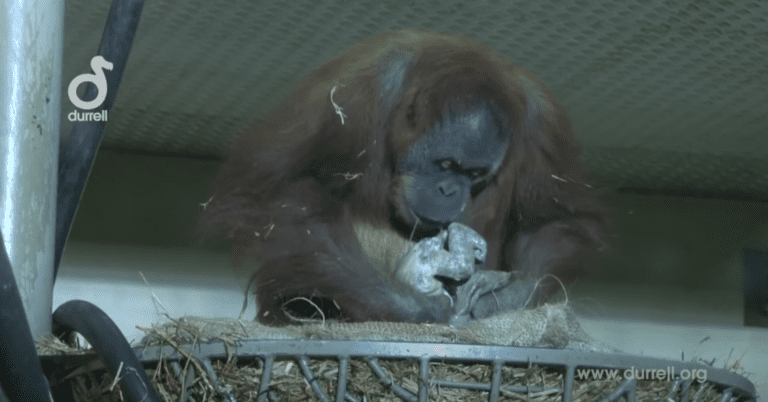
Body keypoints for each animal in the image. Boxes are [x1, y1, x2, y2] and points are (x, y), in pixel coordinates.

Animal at [199, 29, 605, 326]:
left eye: (474, 174)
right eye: (446, 165)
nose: (449, 190)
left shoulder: (542, 118)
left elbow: (559, 222)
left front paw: (502, 299)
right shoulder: (351, 90)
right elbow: (271, 188)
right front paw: (415, 305)